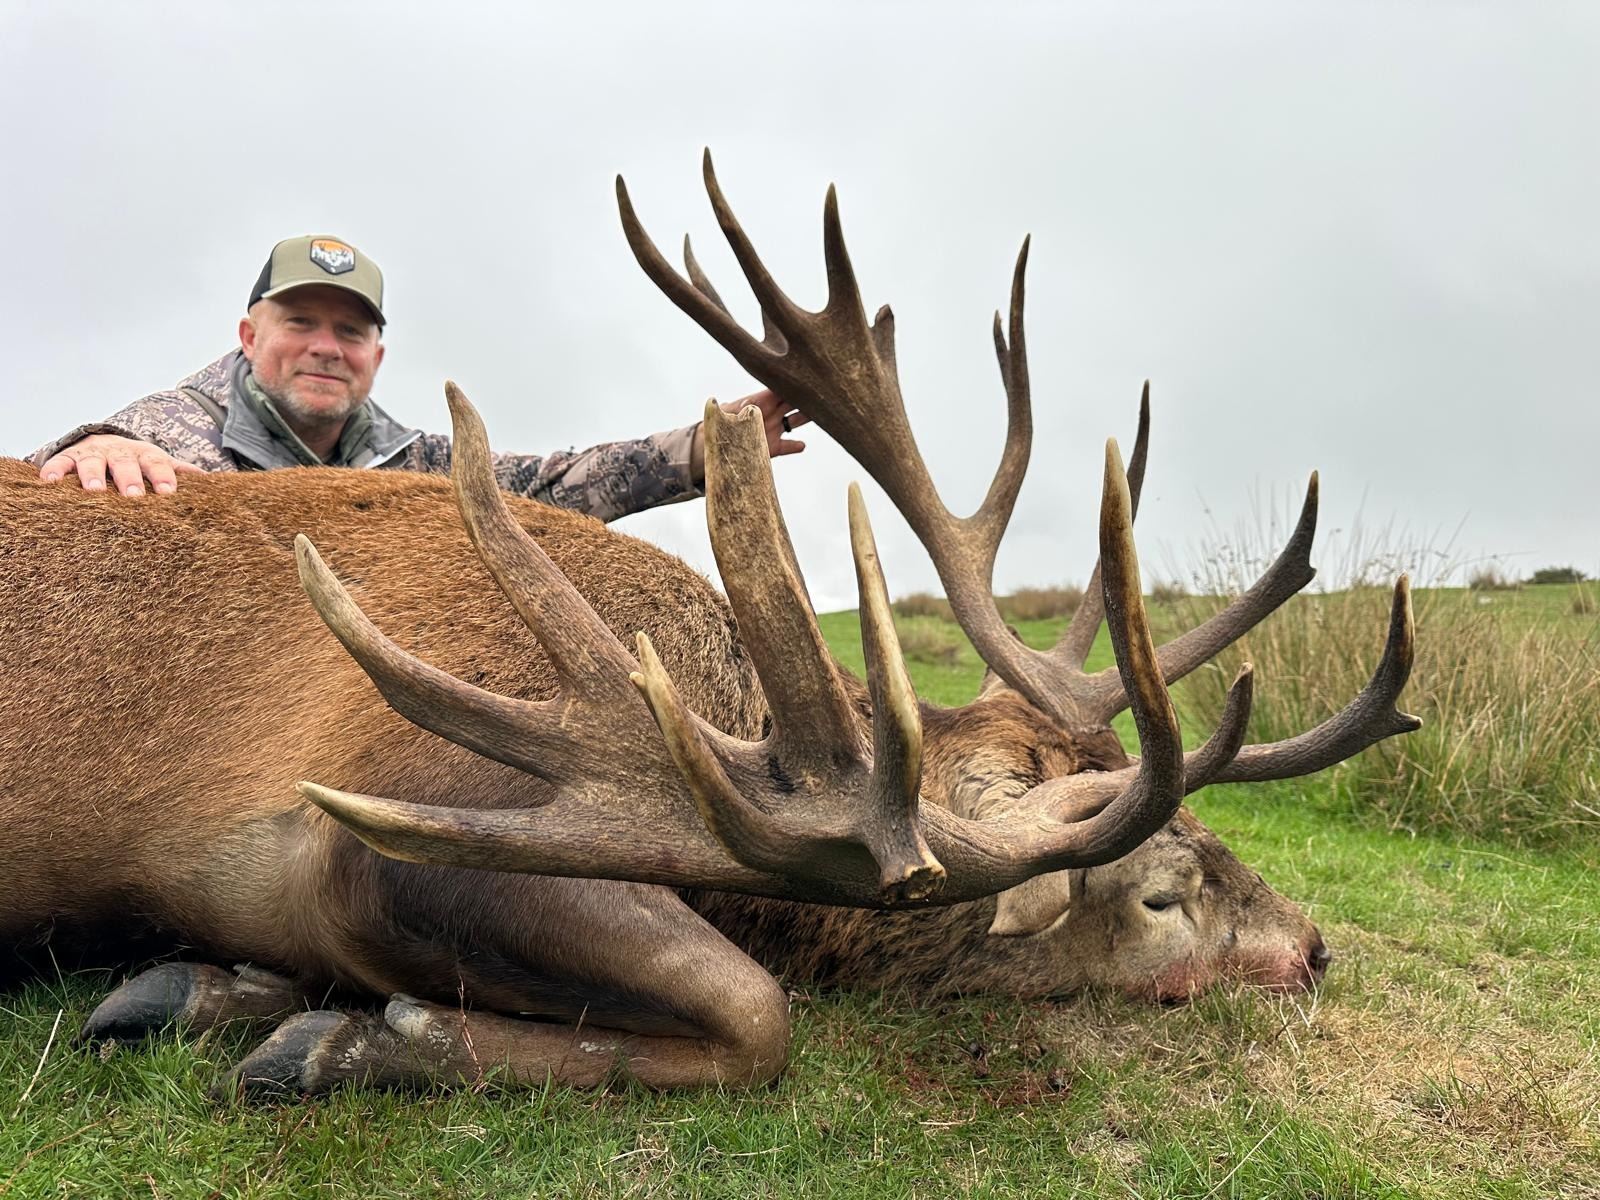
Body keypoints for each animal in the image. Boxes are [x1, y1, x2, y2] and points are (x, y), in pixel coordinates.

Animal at [0, 155, 1419, 1096]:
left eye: (1216, 838)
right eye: (1164, 895)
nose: (1312, 950)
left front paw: (213, 992)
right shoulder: (397, 816)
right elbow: (755, 1019)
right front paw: (333, 1036)